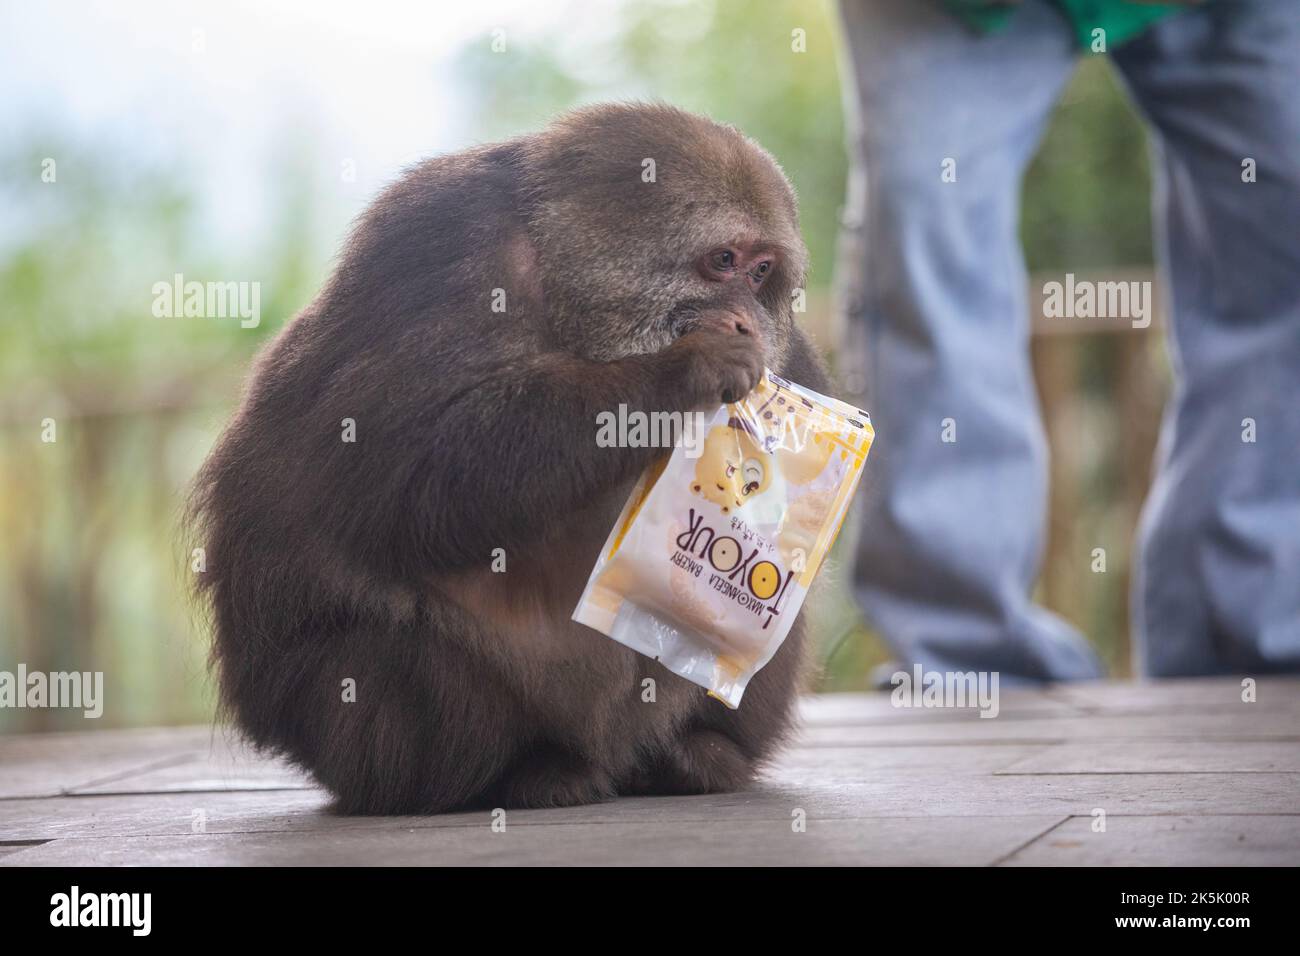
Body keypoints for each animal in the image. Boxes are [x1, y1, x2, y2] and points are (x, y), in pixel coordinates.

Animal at [187, 102, 834, 814]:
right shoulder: (439, 244)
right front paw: (684, 369)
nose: (746, 319)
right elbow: (397, 474)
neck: (564, 289)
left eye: (761, 272)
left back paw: (696, 753)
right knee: (383, 649)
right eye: (723, 261)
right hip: (349, 736)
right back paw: (522, 771)